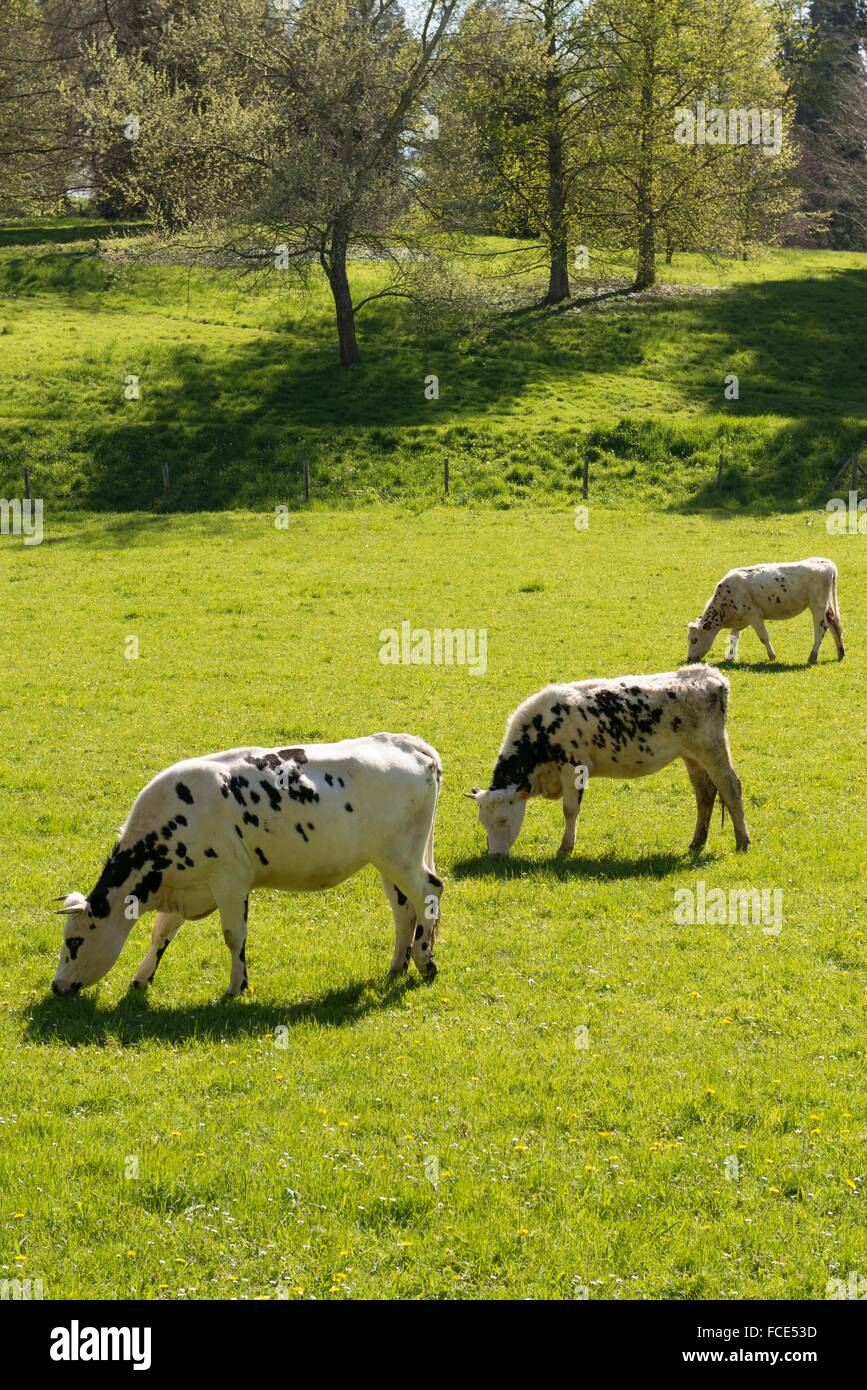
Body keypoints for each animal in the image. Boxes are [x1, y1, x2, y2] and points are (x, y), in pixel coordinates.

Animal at [51, 734, 443, 997]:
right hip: (389, 861)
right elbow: (161, 933)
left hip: (400, 856)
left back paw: (424, 962)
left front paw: (237, 986)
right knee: (403, 910)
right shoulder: (186, 888)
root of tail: (409, 744)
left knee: (429, 892)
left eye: (74, 940)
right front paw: (141, 977)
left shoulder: (230, 882)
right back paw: (397, 966)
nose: (56, 986)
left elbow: (232, 936)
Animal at [466, 665, 749, 858]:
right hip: (692, 756)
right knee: (705, 794)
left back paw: (742, 842)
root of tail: (710, 675)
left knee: (731, 788)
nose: (495, 857)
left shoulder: (573, 768)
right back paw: (696, 843)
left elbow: (570, 810)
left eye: (503, 819)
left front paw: (565, 848)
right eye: (483, 821)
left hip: (712, 749)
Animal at [687, 558, 844, 665]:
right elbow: (734, 638)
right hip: (826, 607)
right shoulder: (739, 620)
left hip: (817, 606)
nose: (689, 659)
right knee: (834, 625)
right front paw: (730, 657)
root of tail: (826, 563)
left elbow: (763, 637)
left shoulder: (754, 615)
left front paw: (772, 656)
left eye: (694, 639)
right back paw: (840, 653)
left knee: (821, 629)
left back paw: (812, 656)